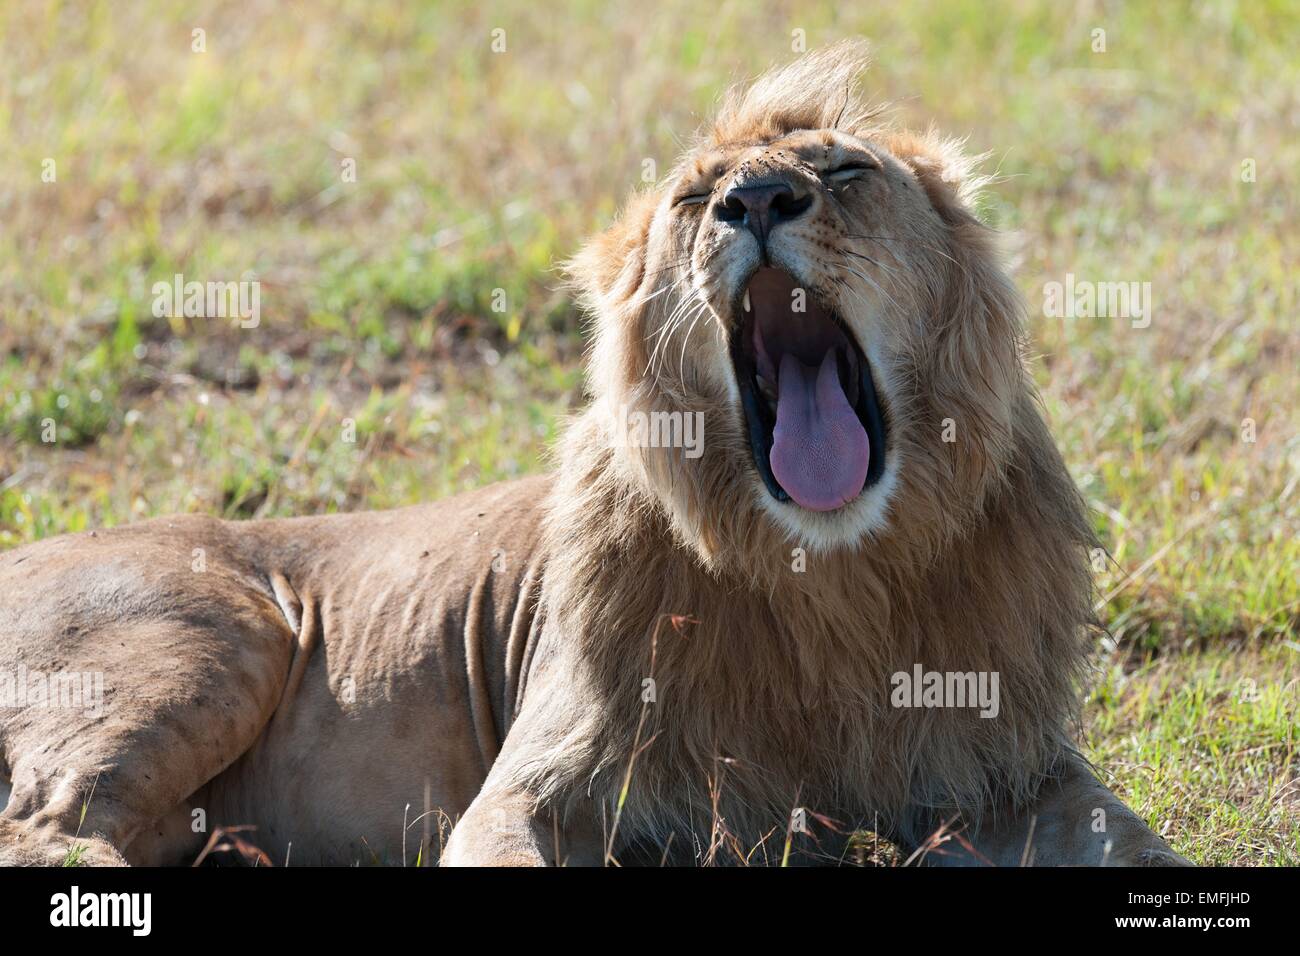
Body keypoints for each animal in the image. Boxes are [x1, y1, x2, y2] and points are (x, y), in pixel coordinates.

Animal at [0, 42, 1187, 867]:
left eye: (844, 170)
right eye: (694, 196)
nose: (756, 200)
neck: (829, 582)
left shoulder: (1009, 770)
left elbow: (1139, 843)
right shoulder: (534, 785)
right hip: (216, 639)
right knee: (45, 825)